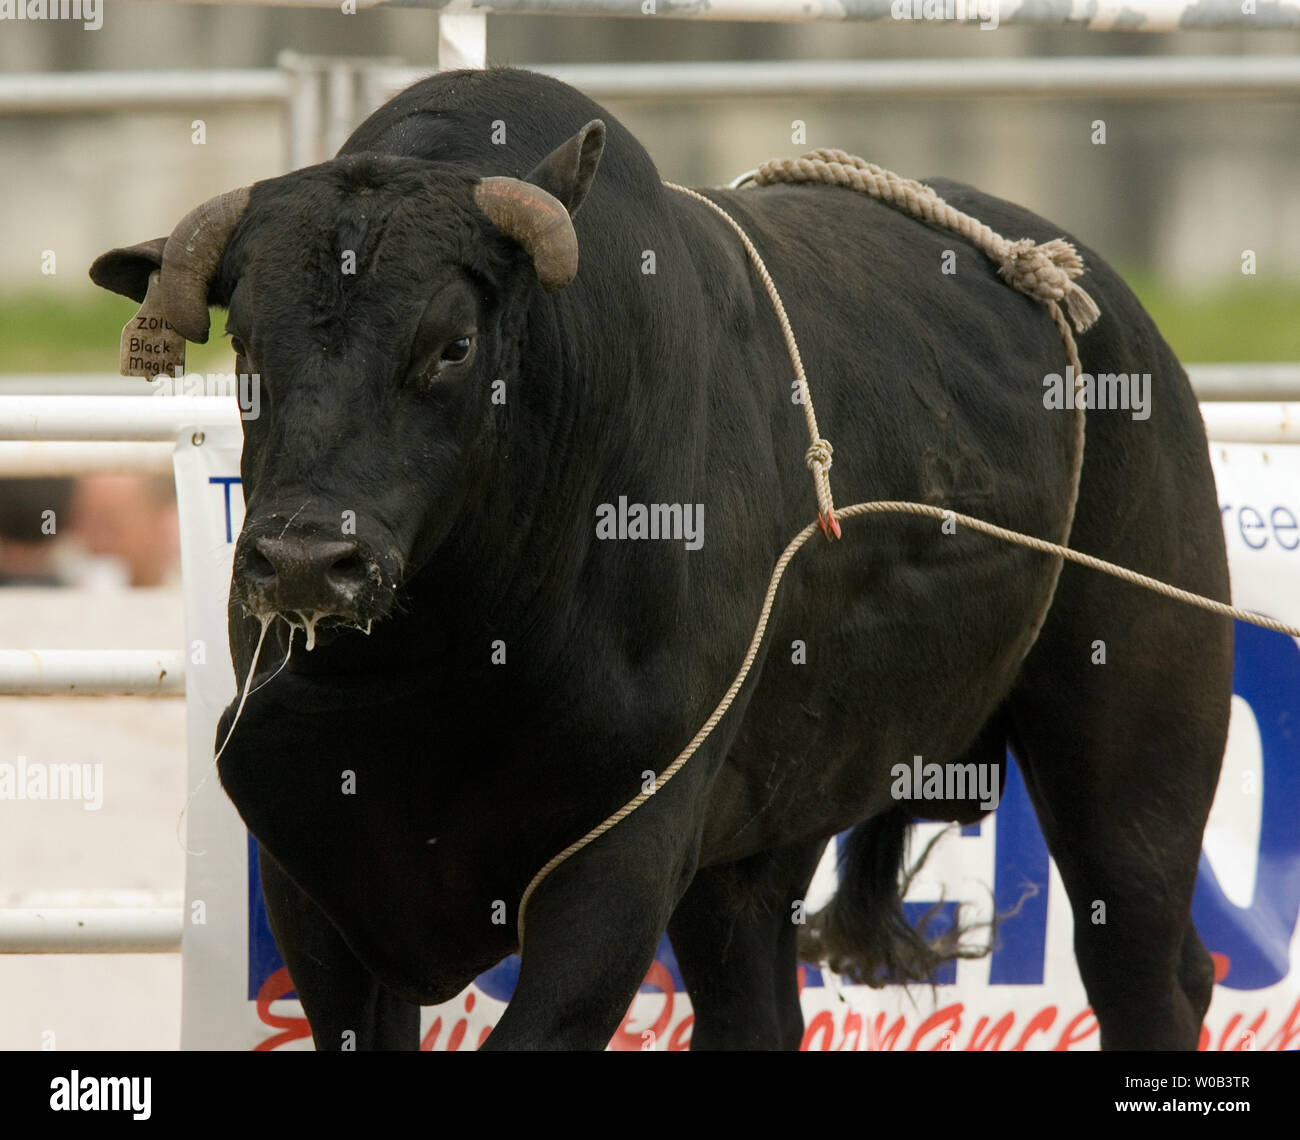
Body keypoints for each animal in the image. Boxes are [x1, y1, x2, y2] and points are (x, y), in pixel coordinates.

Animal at [90, 66, 1232, 1051]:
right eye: (247, 347)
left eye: (453, 344)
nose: (303, 561)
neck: (435, 671)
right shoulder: (310, 869)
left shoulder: (620, 859)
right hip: (760, 843)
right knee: (757, 1011)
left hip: (1138, 744)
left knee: (1147, 965)